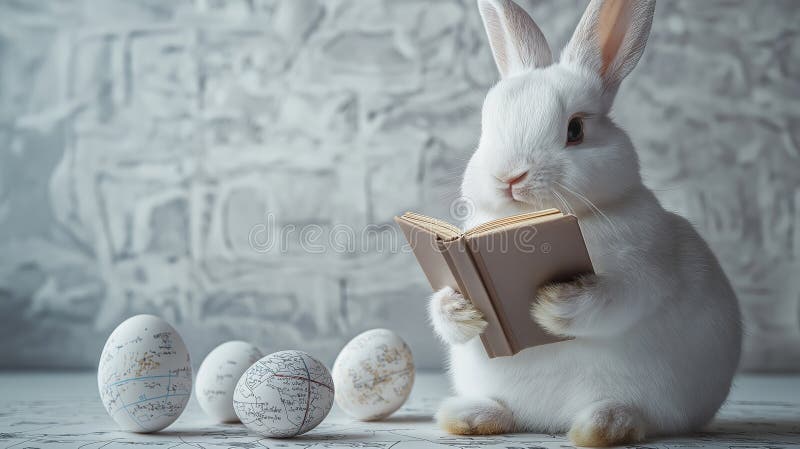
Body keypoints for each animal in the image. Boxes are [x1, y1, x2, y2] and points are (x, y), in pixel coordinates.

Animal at [428, 0, 742, 446]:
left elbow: (615, 298)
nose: (509, 176)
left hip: (657, 406)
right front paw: (460, 310)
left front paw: (552, 303)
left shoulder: (645, 270)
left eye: (575, 129)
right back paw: (469, 417)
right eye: (487, 126)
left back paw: (602, 426)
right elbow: (445, 308)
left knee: (640, 418)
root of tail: (547, 423)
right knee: (507, 414)